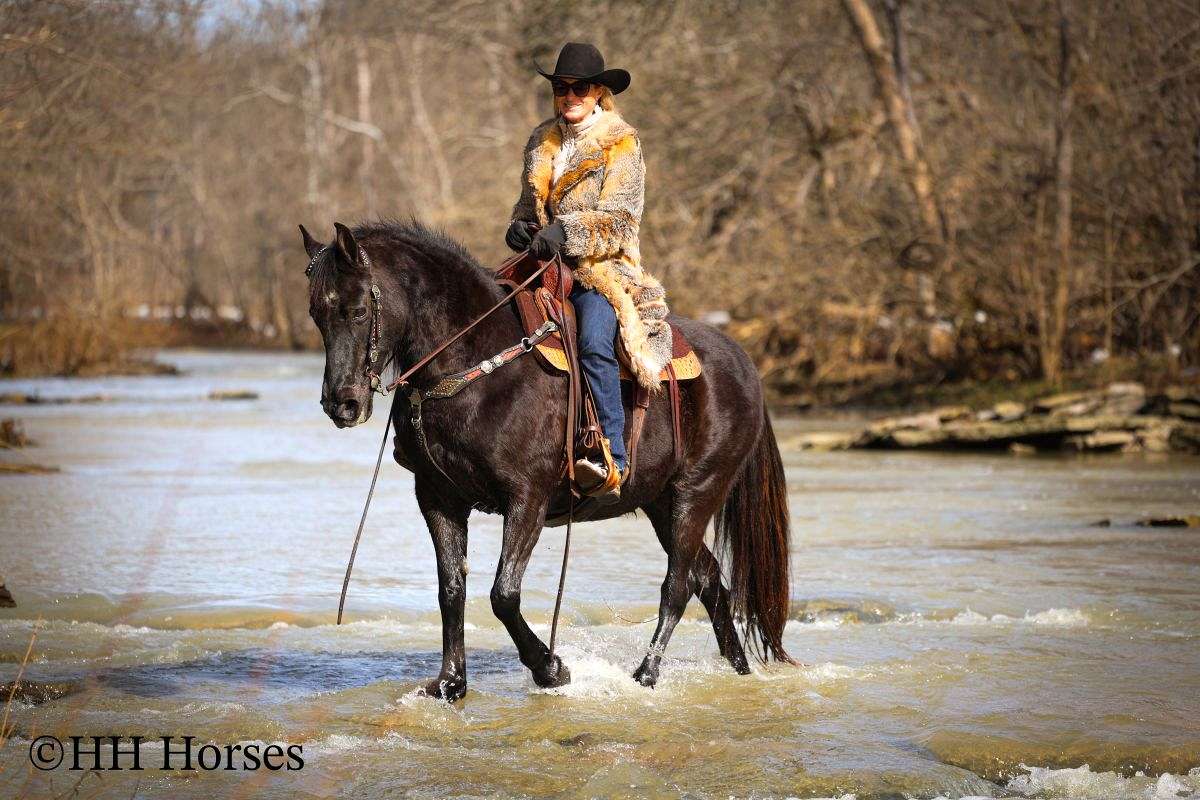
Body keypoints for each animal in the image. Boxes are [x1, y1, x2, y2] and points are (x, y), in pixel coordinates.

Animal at [301, 218, 794, 700]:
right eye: (317, 315)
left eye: (358, 310)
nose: (341, 404)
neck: (477, 361)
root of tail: (744, 363)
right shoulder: (438, 497)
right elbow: (451, 588)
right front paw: (450, 683)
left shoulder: (527, 498)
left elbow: (503, 594)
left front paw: (551, 668)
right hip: (661, 503)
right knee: (710, 583)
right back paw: (739, 670)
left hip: (698, 491)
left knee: (678, 585)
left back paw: (646, 675)